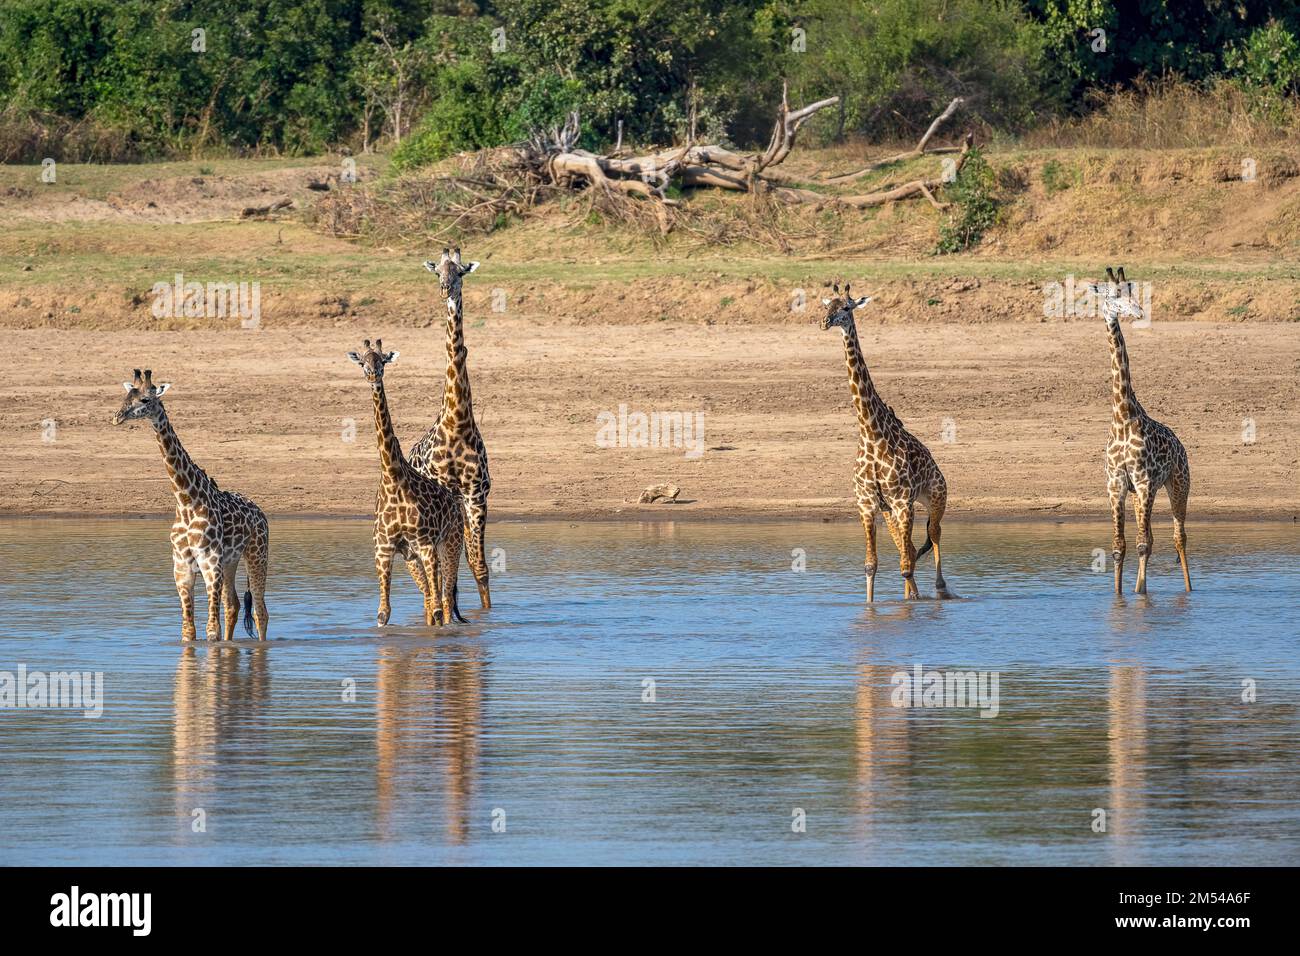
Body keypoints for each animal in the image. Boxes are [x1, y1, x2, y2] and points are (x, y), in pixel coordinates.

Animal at [113, 369, 269, 641]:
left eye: (145, 399)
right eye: (126, 396)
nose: (117, 417)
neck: (186, 500)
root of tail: (260, 512)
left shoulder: (210, 563)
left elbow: (212, 631)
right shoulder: (182, 567)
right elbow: (189, 630)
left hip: (257, 554)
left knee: (260, 611)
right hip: (231, 561)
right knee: (233, 605)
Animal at [349, 339, 466, 628]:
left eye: (382, 359)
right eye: (362, 361)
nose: (373, 374)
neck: (393, 479)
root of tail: (455, 501)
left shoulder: (425, 545)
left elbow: (438, 609)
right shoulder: (384, 550)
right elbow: (383, 613)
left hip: (450, 544)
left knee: (444, 601)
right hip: (412, 557)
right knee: (430, 600)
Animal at [820, 283, 950, 601]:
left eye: (846, 308)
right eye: (827, 307)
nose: (824, 322)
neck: (871, 433)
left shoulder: (903, 501)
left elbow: (905, 566)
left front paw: (913, 602)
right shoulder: (868, 503)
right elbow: (872, 565)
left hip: (935, 496)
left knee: (934, 535)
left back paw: (940, 588)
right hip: (892, 511)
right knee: (911, 549)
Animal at [1091, 267, 1191, 595]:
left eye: (1132, 290)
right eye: (1114, 294)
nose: (1138, 311)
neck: (1123, 418)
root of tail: (1180, 444)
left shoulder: (1145, 481)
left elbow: (1142, 544)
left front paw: (1140, 594)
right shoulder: (1117, 485)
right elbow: (1119, 546)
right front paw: (1121, 595)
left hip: (1178, 483)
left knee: (1178, 537)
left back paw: (1189, 590)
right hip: (1139, 494)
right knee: (1152, 536)